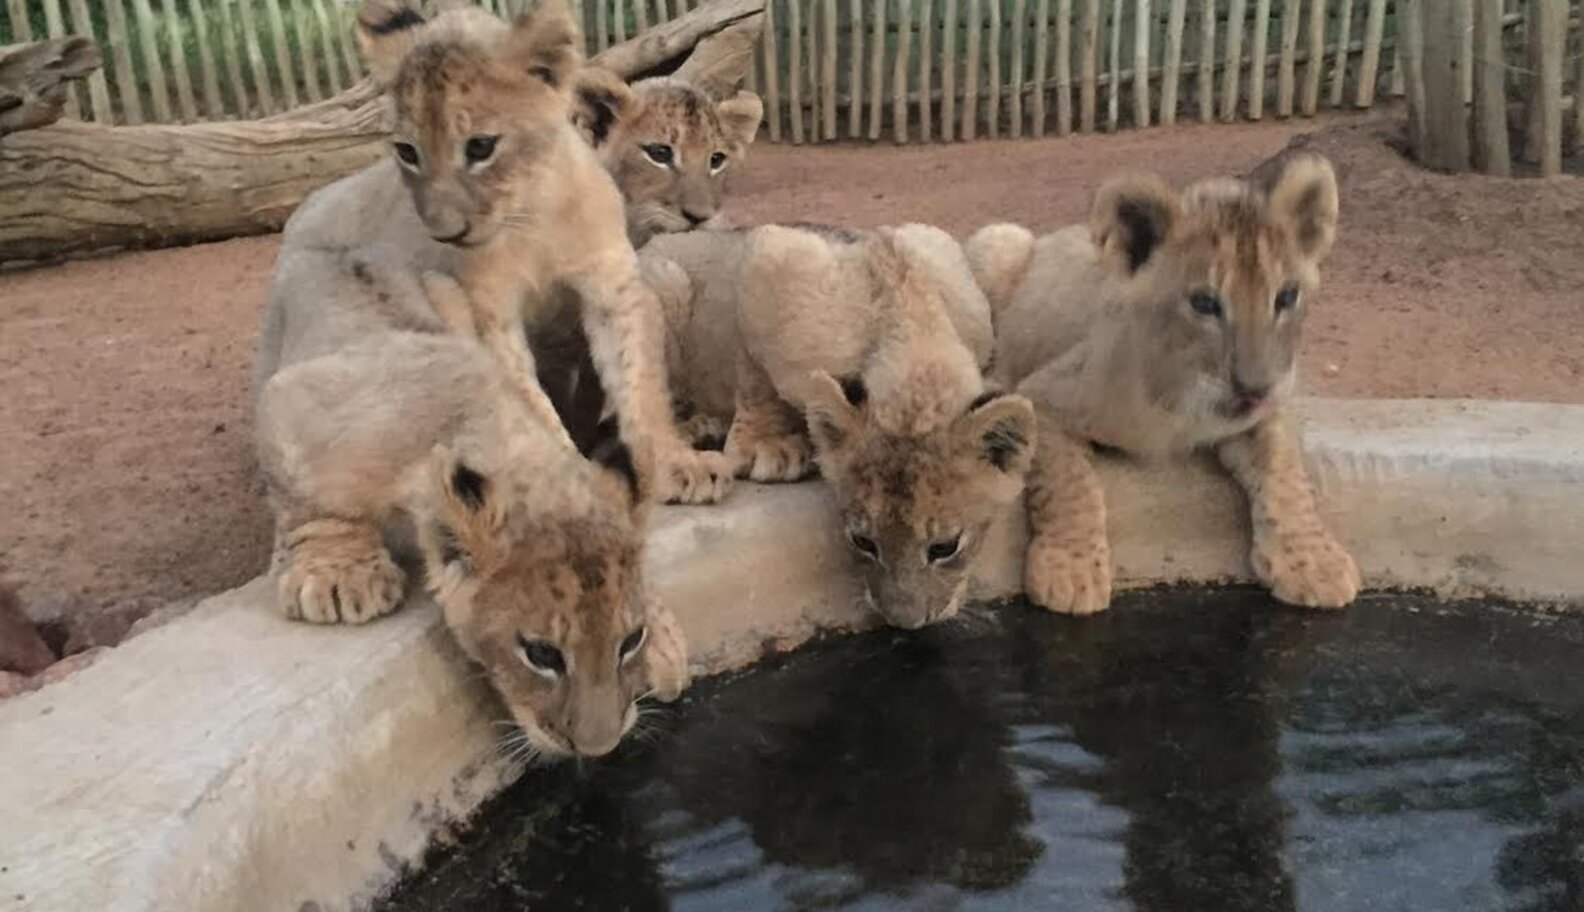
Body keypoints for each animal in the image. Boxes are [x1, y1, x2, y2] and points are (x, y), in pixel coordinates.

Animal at [638, 223, 1036, 629]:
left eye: (944, 547)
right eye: (863, 542)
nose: (904, 622)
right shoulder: (768, 260)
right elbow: (754, 375)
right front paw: (765, 444)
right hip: (660, 285)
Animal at [966, 154, 1360, 615]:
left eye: (1285, 297)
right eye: (1205, 303)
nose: (1254, 387)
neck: (1183, 404)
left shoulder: (1270, 408)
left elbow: (1286, 474)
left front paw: (1316, 564)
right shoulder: (1042, 395)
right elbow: (1070, 483)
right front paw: (1070, 571)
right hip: (996, 241)